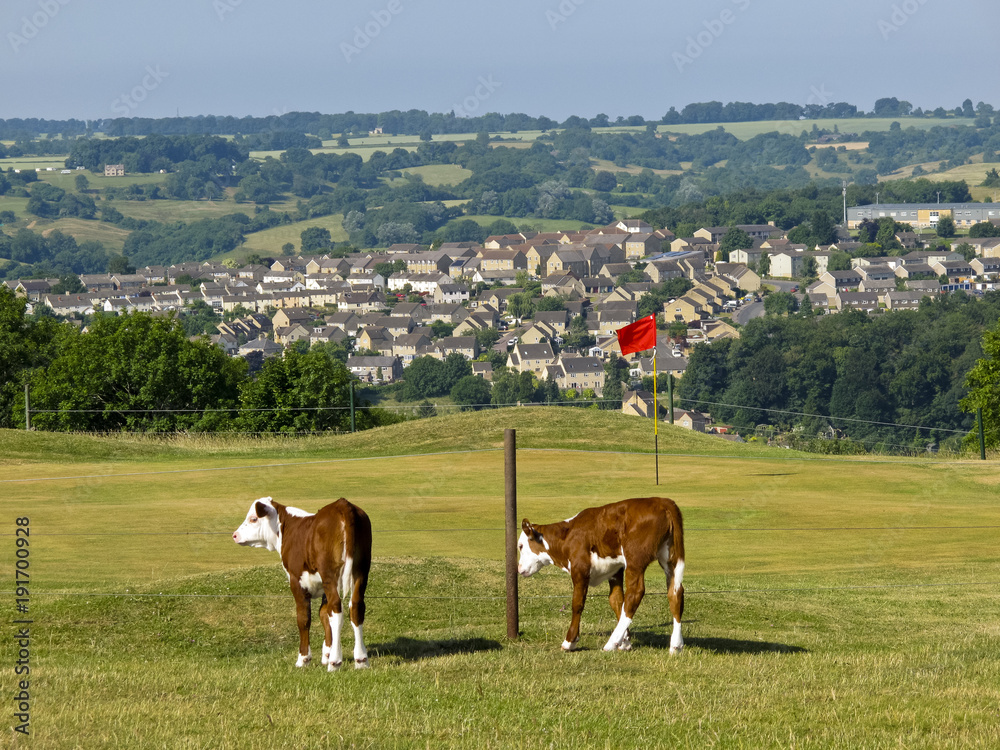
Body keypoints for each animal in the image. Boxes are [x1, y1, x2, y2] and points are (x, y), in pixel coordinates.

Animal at [232, 496, 372, 671]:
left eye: (253, 519)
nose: (235, 535)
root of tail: (342, 504)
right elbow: (324, 615)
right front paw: (326, 654)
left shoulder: (296, 581)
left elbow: (303, 618)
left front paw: (304, 658)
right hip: (361, 570)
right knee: (356, 607)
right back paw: (361, 659)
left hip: (330, 573)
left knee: (336, 609)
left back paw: (335, 662)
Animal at [518, 496, 684, 654]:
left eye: (520, 546)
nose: (518, 569)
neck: (568, 535)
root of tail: (662, 501)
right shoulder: (615, 570)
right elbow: (616, 600)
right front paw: (625, 642)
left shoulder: (580, 570)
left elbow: (577, 604)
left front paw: (570, 641)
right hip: (670, 558)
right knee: (675, 593)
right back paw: (676, 645)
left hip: (635, 560)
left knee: (635, 593)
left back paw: (610, 643)